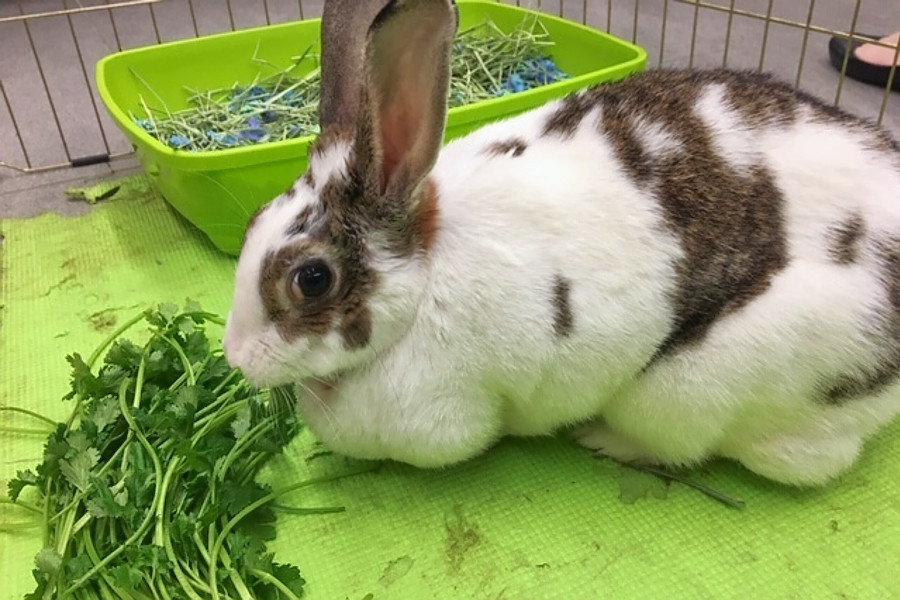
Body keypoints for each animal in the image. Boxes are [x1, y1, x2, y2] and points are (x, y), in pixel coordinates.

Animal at [223, 0, 900, 487]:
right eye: (250, 221)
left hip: (694, 392)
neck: (426, 273)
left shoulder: (449, 410)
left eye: (312, 279)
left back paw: (604, 440)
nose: (236, 358)